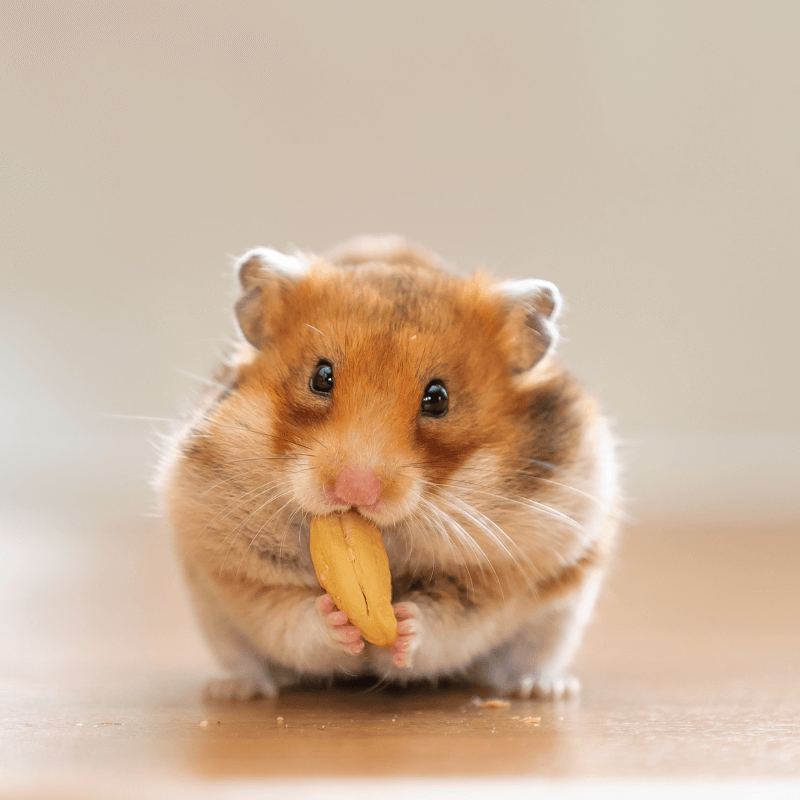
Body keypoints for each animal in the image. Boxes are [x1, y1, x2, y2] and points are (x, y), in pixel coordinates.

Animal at [156, 236, 620, 701]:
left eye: (438, 398)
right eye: (320, 377)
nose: (355, 491)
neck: (388, 540)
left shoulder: (507, 573)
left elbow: (449, 622)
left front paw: (403, 626)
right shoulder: (235, 567)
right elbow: (291, 617)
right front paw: (337, 620)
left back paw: (545, 689)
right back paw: (232, 691)